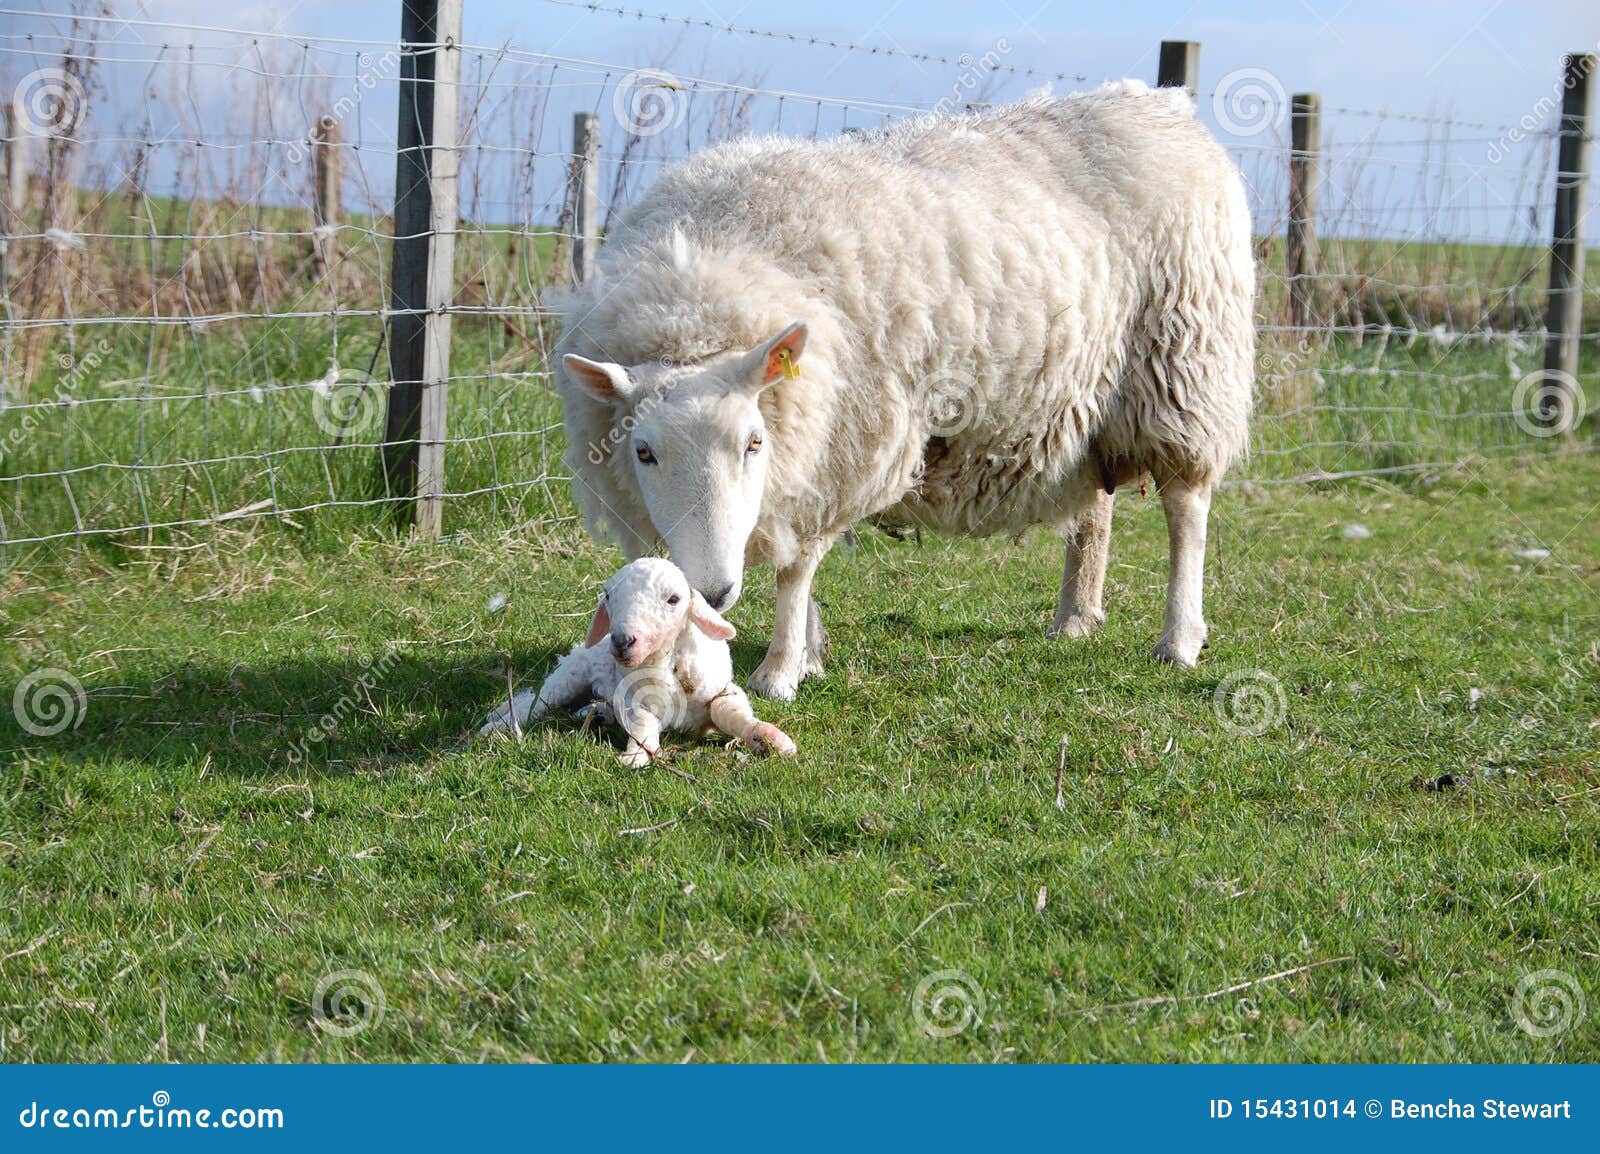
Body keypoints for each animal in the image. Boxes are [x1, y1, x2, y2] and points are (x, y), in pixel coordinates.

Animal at [480, 558, 796, 766]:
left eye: (674, 599)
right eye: (608, 595)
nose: (621, 641)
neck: (667, 667)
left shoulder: (723, 690)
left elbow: (728, 711)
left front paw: (769, 738)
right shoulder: (631, 698)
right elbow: (642, 721)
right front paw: (635, 755)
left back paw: (596, 713)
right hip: (572, 672)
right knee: (538, 700)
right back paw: (499, 724)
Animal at [550, 82, 1256, 700]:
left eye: (754, 442)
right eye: (643, 453)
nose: (715, 590)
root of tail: (1161, 104)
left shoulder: (838, 447)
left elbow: (795, 568)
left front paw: (780, 670)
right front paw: (807, 654)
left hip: (1185, 363)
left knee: (1186, 508)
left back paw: (1179, 639)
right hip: (1092, 398)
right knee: (1097, 503)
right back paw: (1077, 617)